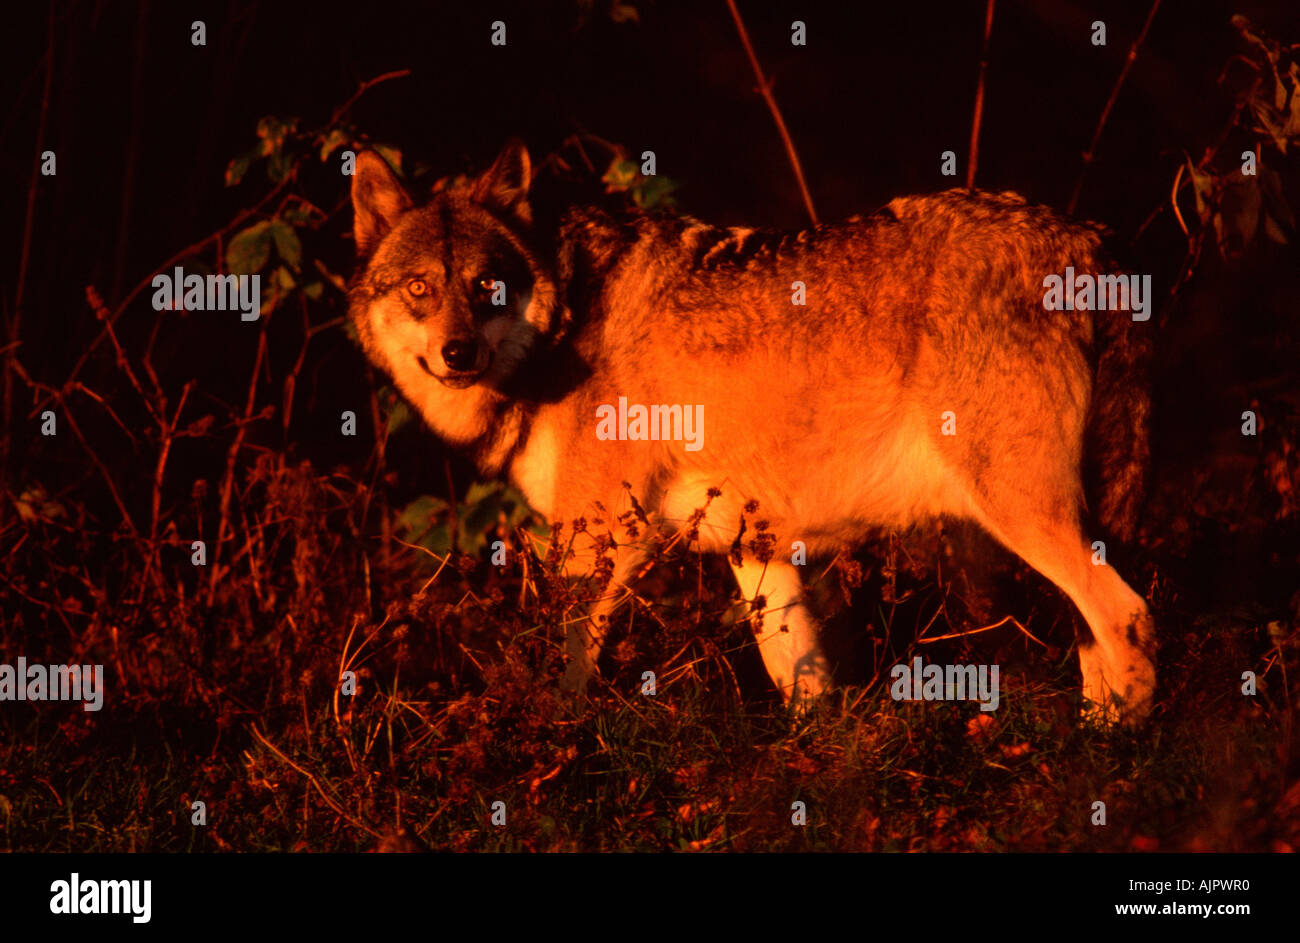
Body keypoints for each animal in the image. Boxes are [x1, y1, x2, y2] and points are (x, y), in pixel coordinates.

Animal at [347, 142, 1156, 724]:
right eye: (420, 287)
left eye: (486, 285)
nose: (458, 355)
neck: (565, 324)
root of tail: (1087, 239)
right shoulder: (757, 549)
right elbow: (805, 691)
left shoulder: (598, 544)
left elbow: (570, 671)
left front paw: (553, 752)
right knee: (1100, 631)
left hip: (1020, 513)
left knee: (1127, 615)